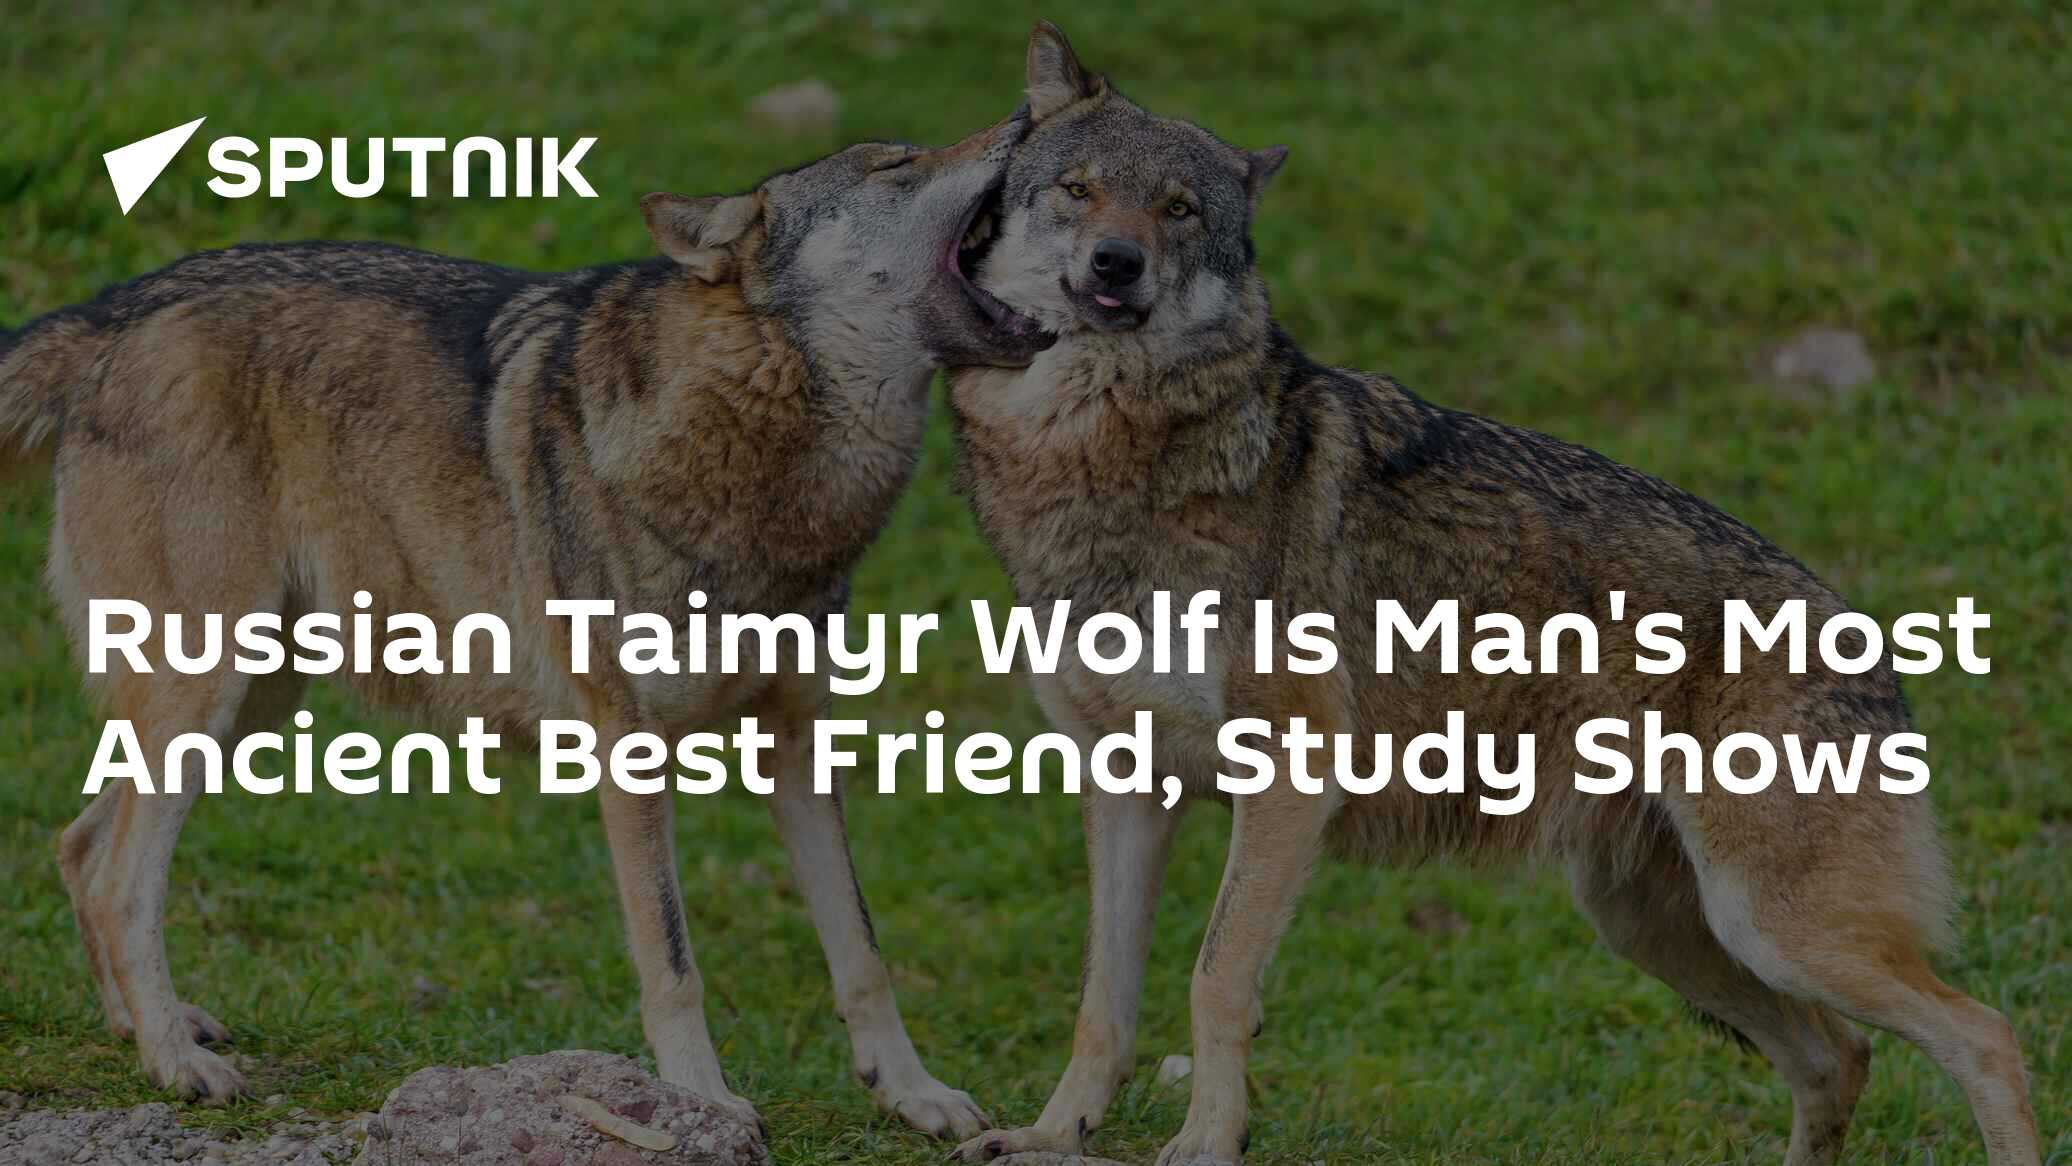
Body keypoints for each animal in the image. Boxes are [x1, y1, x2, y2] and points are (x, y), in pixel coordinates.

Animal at [0, 115, 1051, 1137]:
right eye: (894, 165)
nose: (1025, 117)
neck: (759, 446)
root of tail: (117, 309)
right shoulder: (630, 749)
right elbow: (673, 961)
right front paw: (702, 1103)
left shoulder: (796, 743)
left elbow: (862, 952)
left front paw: (913, 1094)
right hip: (209, 692)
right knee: (120, 877)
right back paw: (177, 1065)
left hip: (251, 701)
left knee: (80, 846)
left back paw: (149, 1030)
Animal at [945, 23, 2041, 1166]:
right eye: (1077, 190)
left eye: (1177, 211)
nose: (1115, 263)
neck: (1100, 462)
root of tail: (1867, 630)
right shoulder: (1124, 788)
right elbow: (1101, 1002)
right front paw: (1048, 1132)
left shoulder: (1287, 782)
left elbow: (1216, 981)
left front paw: (1205, 1145)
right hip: (1656, 926)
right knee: (1838, 1056)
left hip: (1772, 928)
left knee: (1983, 1035)